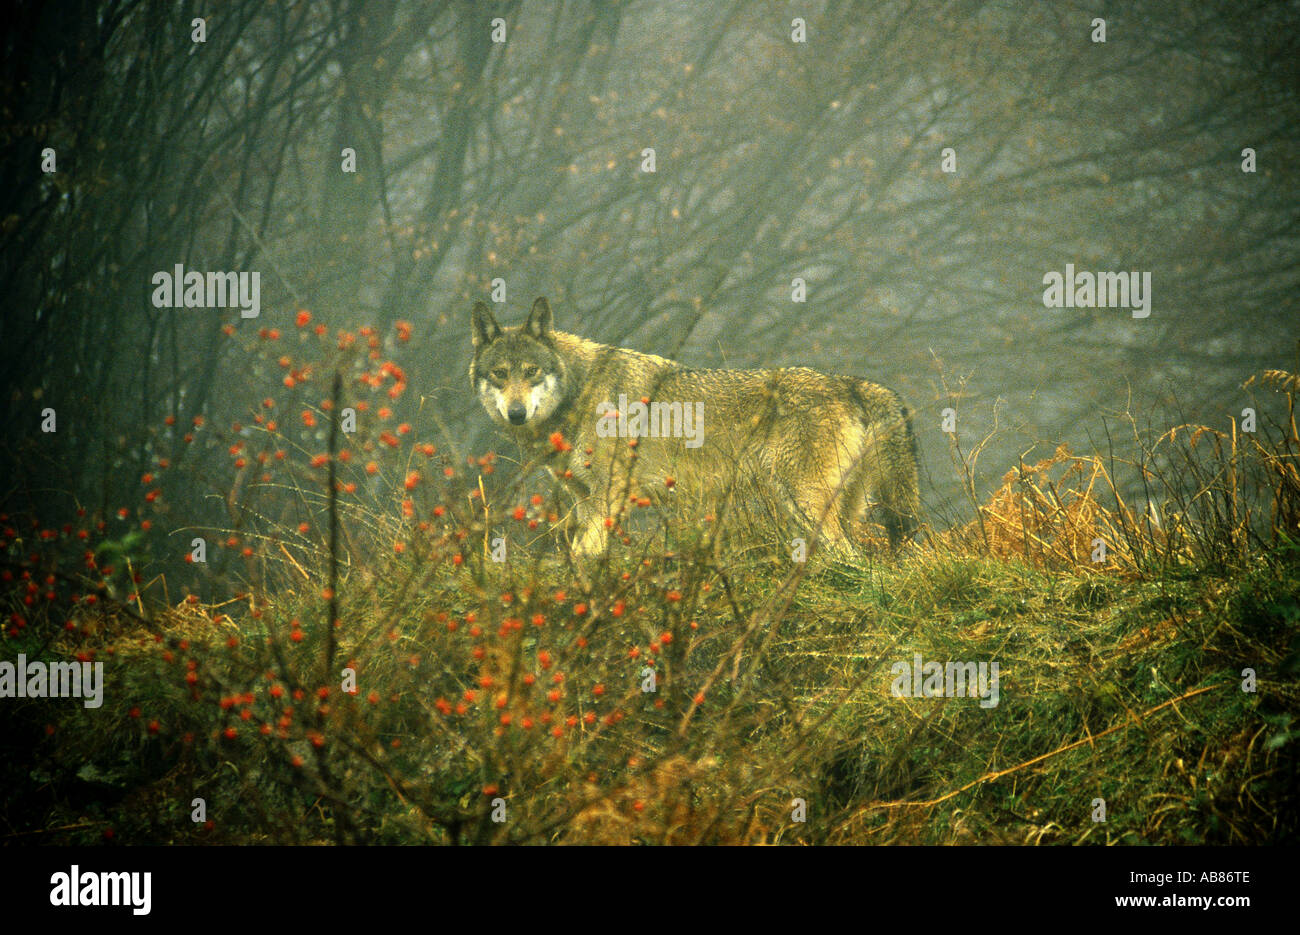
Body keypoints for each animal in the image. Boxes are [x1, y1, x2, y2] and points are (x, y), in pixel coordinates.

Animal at [470, 297, 920, 560]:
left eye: (531, 371)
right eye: (499, 374)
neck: (579, 393)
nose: (516, 413)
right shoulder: (583, 499)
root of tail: (852, 384)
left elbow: (584, 554)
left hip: (804, 502)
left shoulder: (607, 497)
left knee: (853, 558)